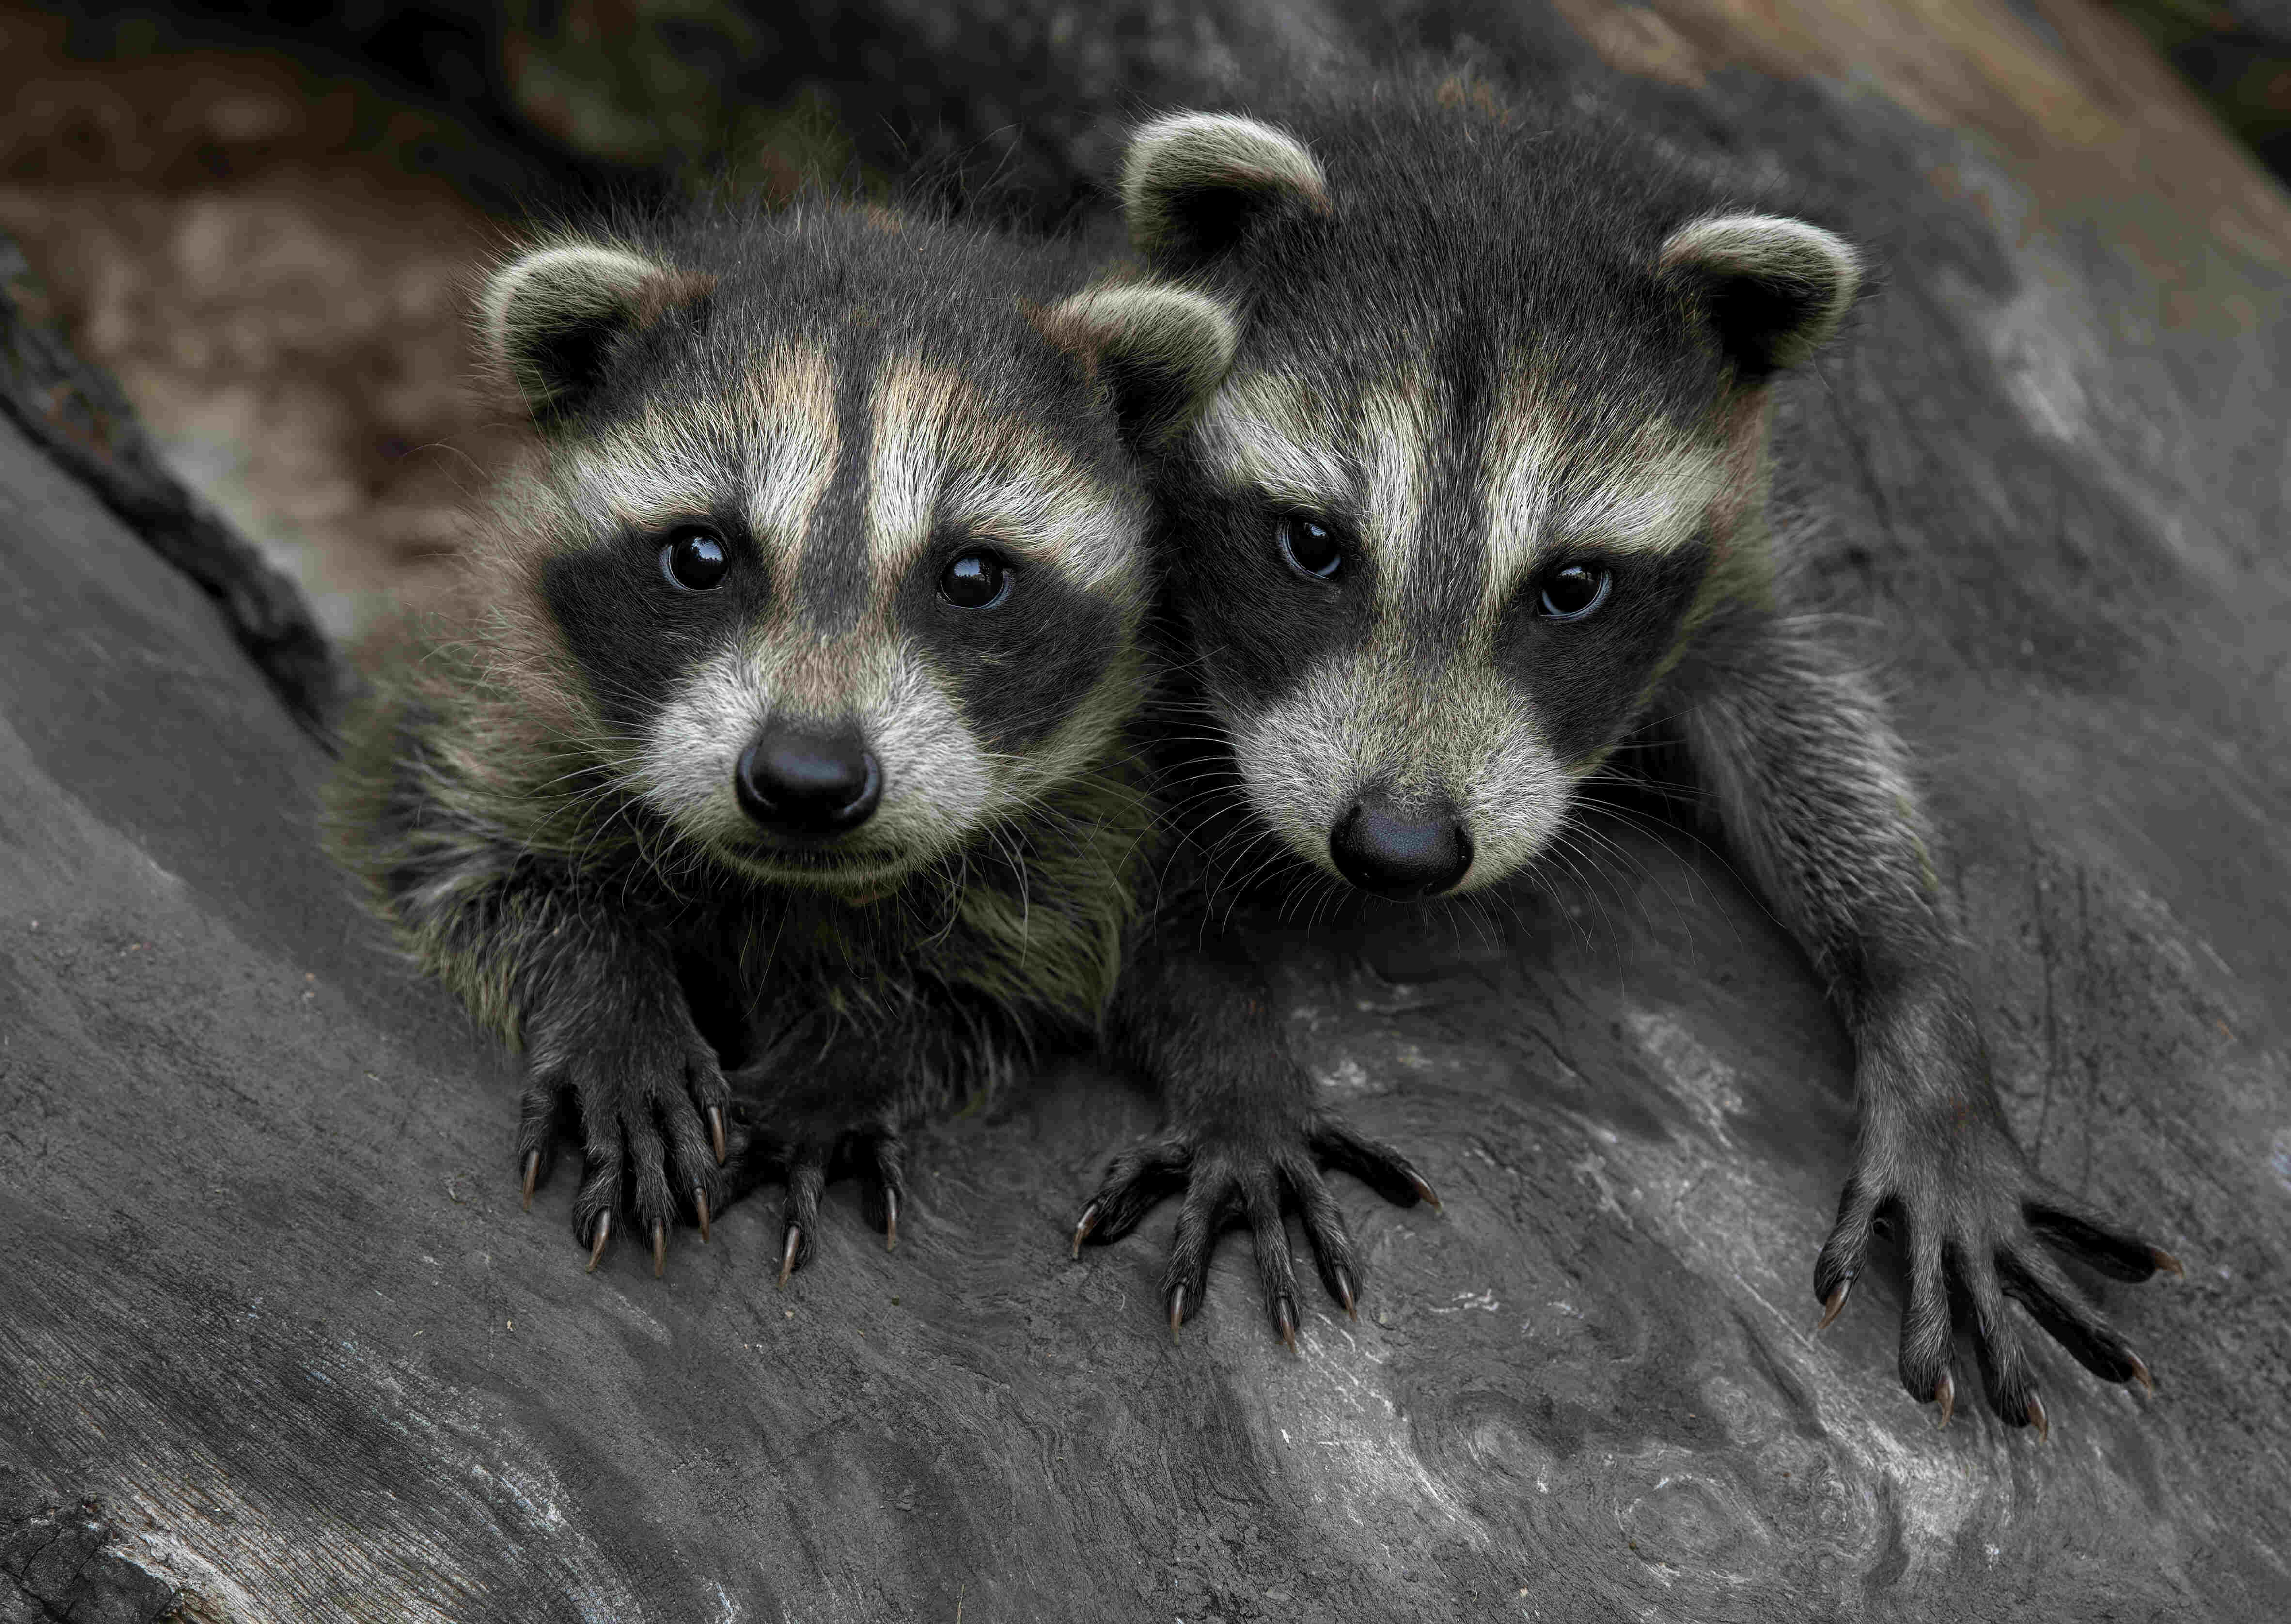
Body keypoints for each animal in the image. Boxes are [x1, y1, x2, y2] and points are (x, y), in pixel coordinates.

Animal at [326, 200, 1235, 1280]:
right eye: (699, 554)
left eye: (973, 575)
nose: (807, 778)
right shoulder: (492, 693)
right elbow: (466, 856)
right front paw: (613, 1001)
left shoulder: (1093, 829)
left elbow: (989, 997)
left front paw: (851, 1055)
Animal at [1071, 85, 2180, 1428]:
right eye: (1313, 544)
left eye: (1571, 586)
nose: (1399, 848)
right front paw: (1225, 1038)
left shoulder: (1729, 570)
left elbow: (1811, 725)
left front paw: (1924, 1017)